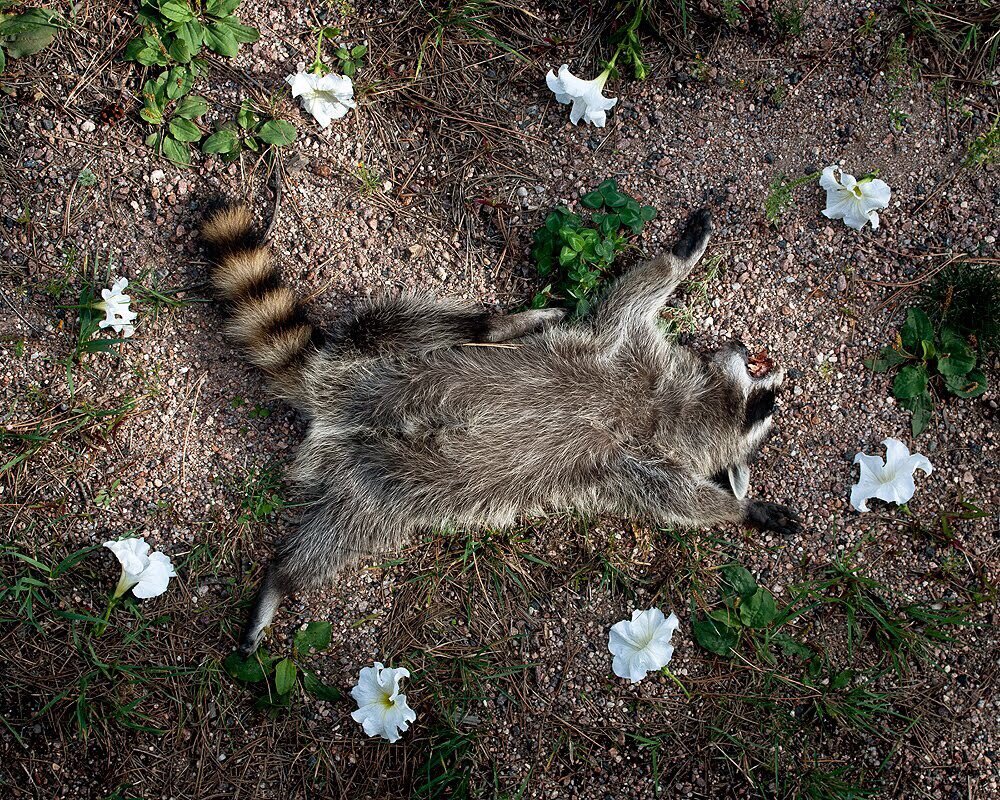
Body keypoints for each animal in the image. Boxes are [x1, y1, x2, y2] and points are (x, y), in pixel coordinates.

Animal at [199, 202, 800, 656]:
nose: (775, 379)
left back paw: (282, 574)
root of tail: (336, 400)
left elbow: (676, 498)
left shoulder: (630, 459)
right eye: (765, 404)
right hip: (393, 373)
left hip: (376, 484)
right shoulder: (624, 357)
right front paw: (681, 255)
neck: (671, 405)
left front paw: (740, 506)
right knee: (424, 325)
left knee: (339, 532)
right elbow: (629, 299)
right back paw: (499, 322)